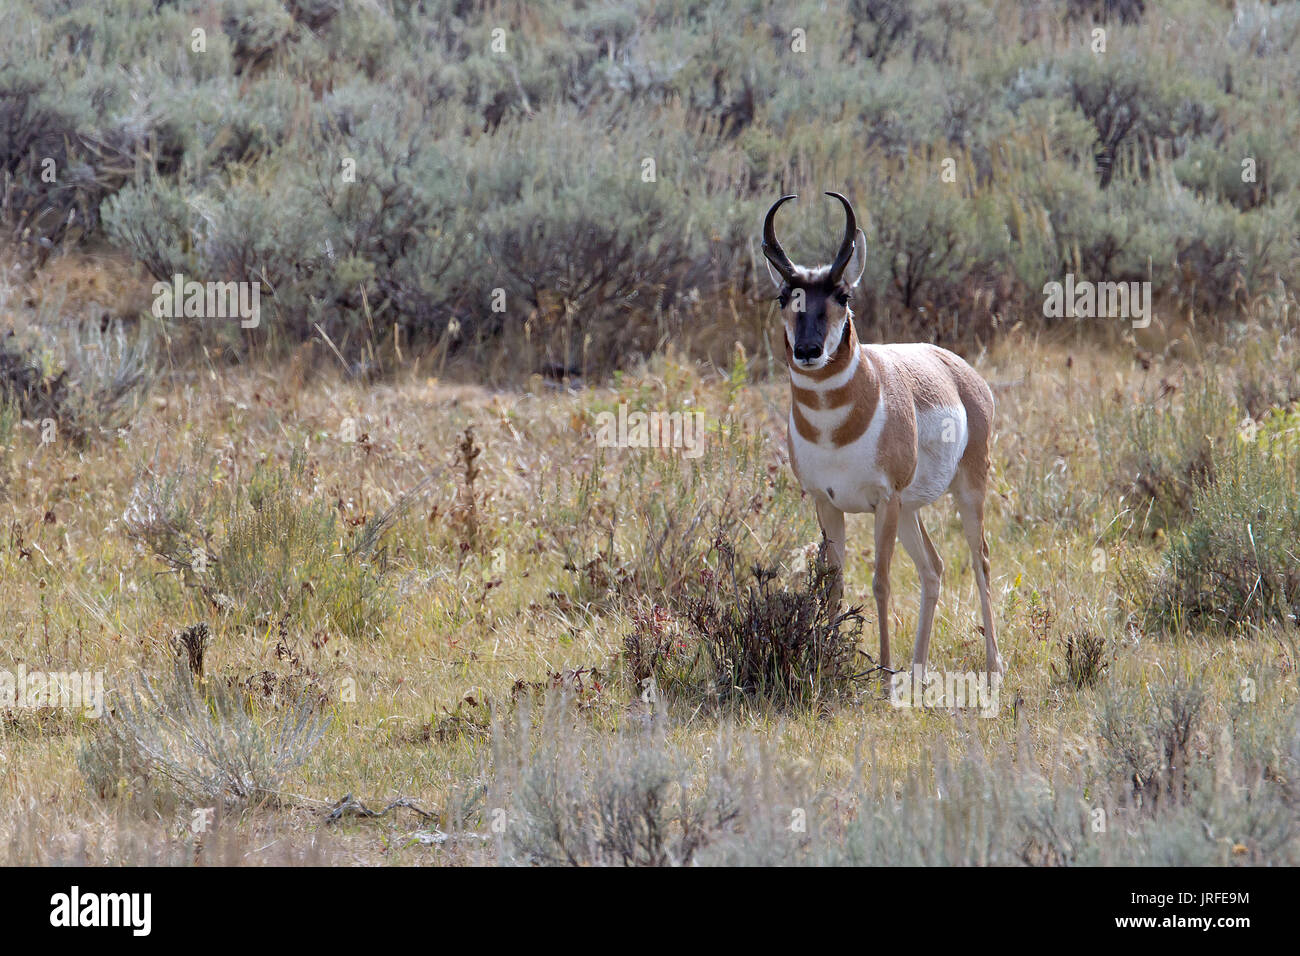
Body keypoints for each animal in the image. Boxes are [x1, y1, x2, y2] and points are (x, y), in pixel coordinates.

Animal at [761, 192, 1004, 678]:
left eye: (843, 293)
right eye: (784, 296)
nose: (808, 350)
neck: (834, 430)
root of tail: (959, 370)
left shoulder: (883, 501)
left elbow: (881, 582)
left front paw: (884, 674)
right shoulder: (827, 504)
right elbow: (833, 585)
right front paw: (826, 665)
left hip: (964, 491)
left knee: (980, 558)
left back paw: (991, 665)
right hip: (909, 510)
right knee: (934, 567)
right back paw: (918, 669)